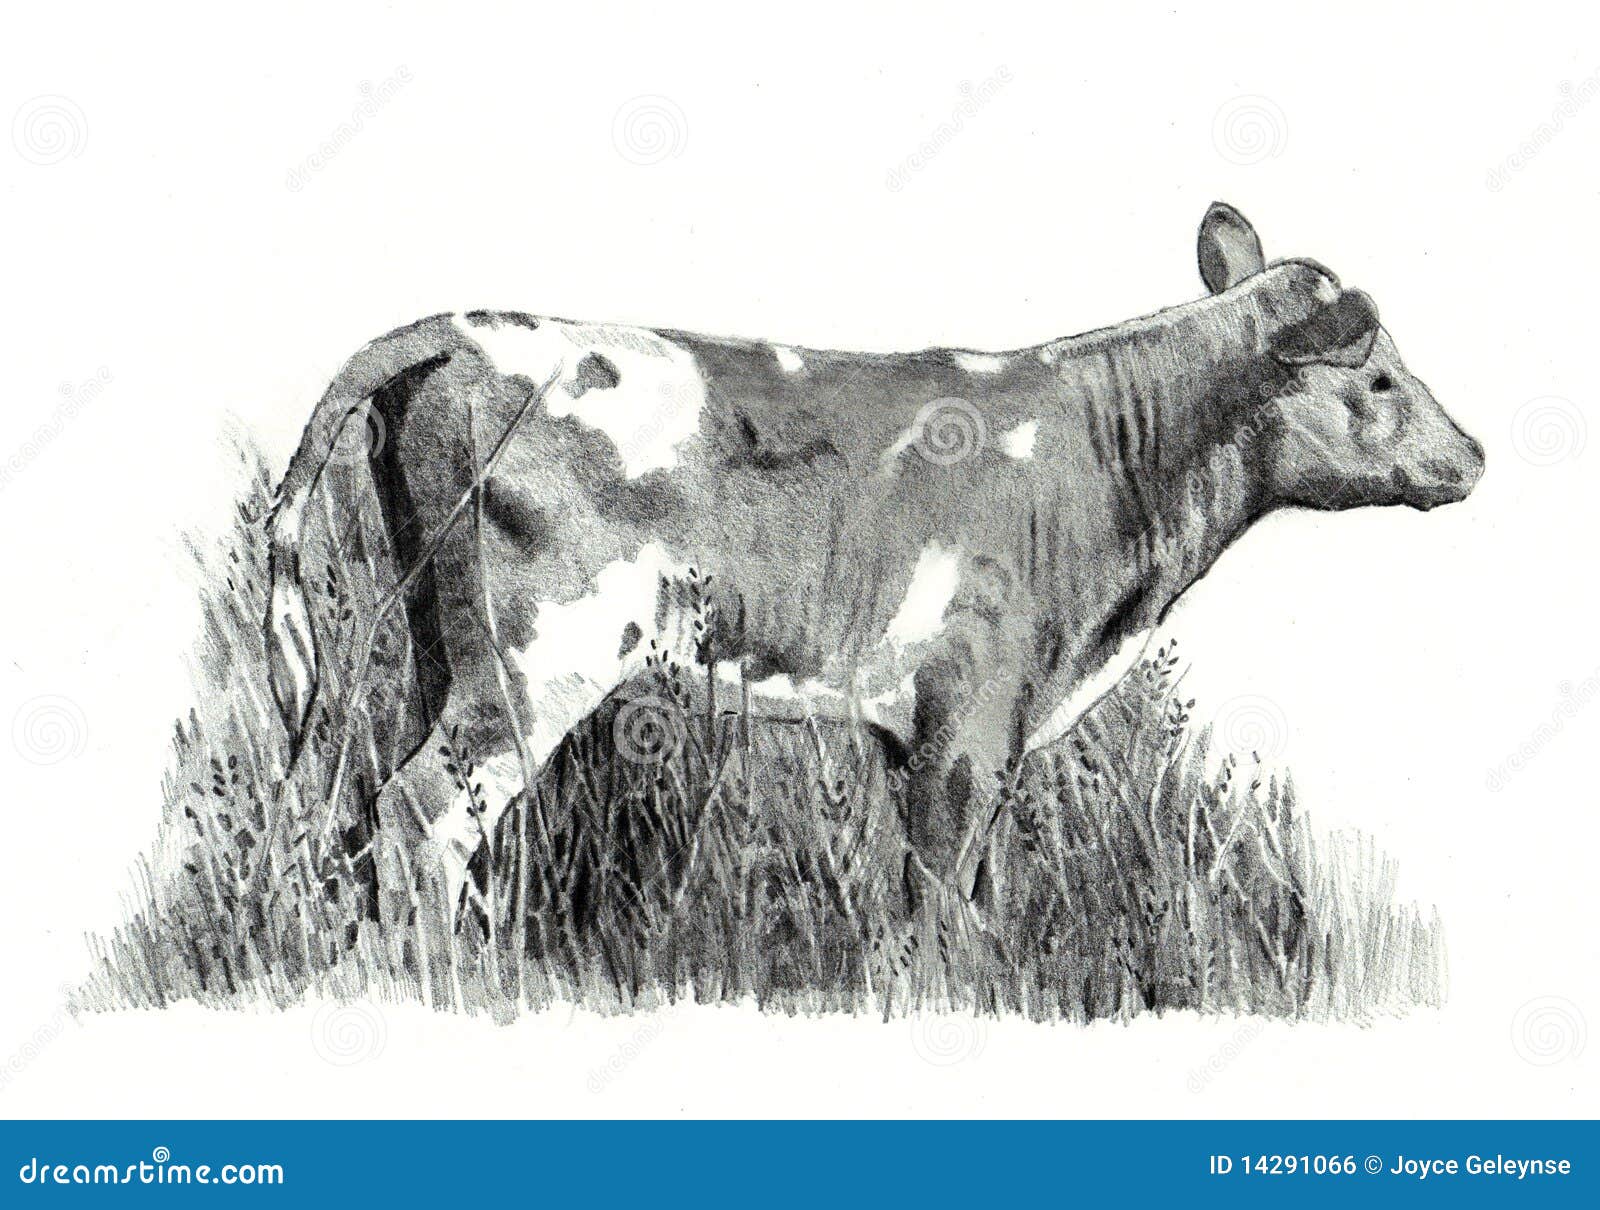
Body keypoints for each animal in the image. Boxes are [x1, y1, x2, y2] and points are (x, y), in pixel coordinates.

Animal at [263, 202, 1483, 919]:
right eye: (1378, 377)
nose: (1472, 453)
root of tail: (465, 327)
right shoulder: (968, 720)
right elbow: (938, 908)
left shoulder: (943, 732)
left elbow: (966, 905)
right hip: (534, 661)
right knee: (419, 815)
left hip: (440, 637)